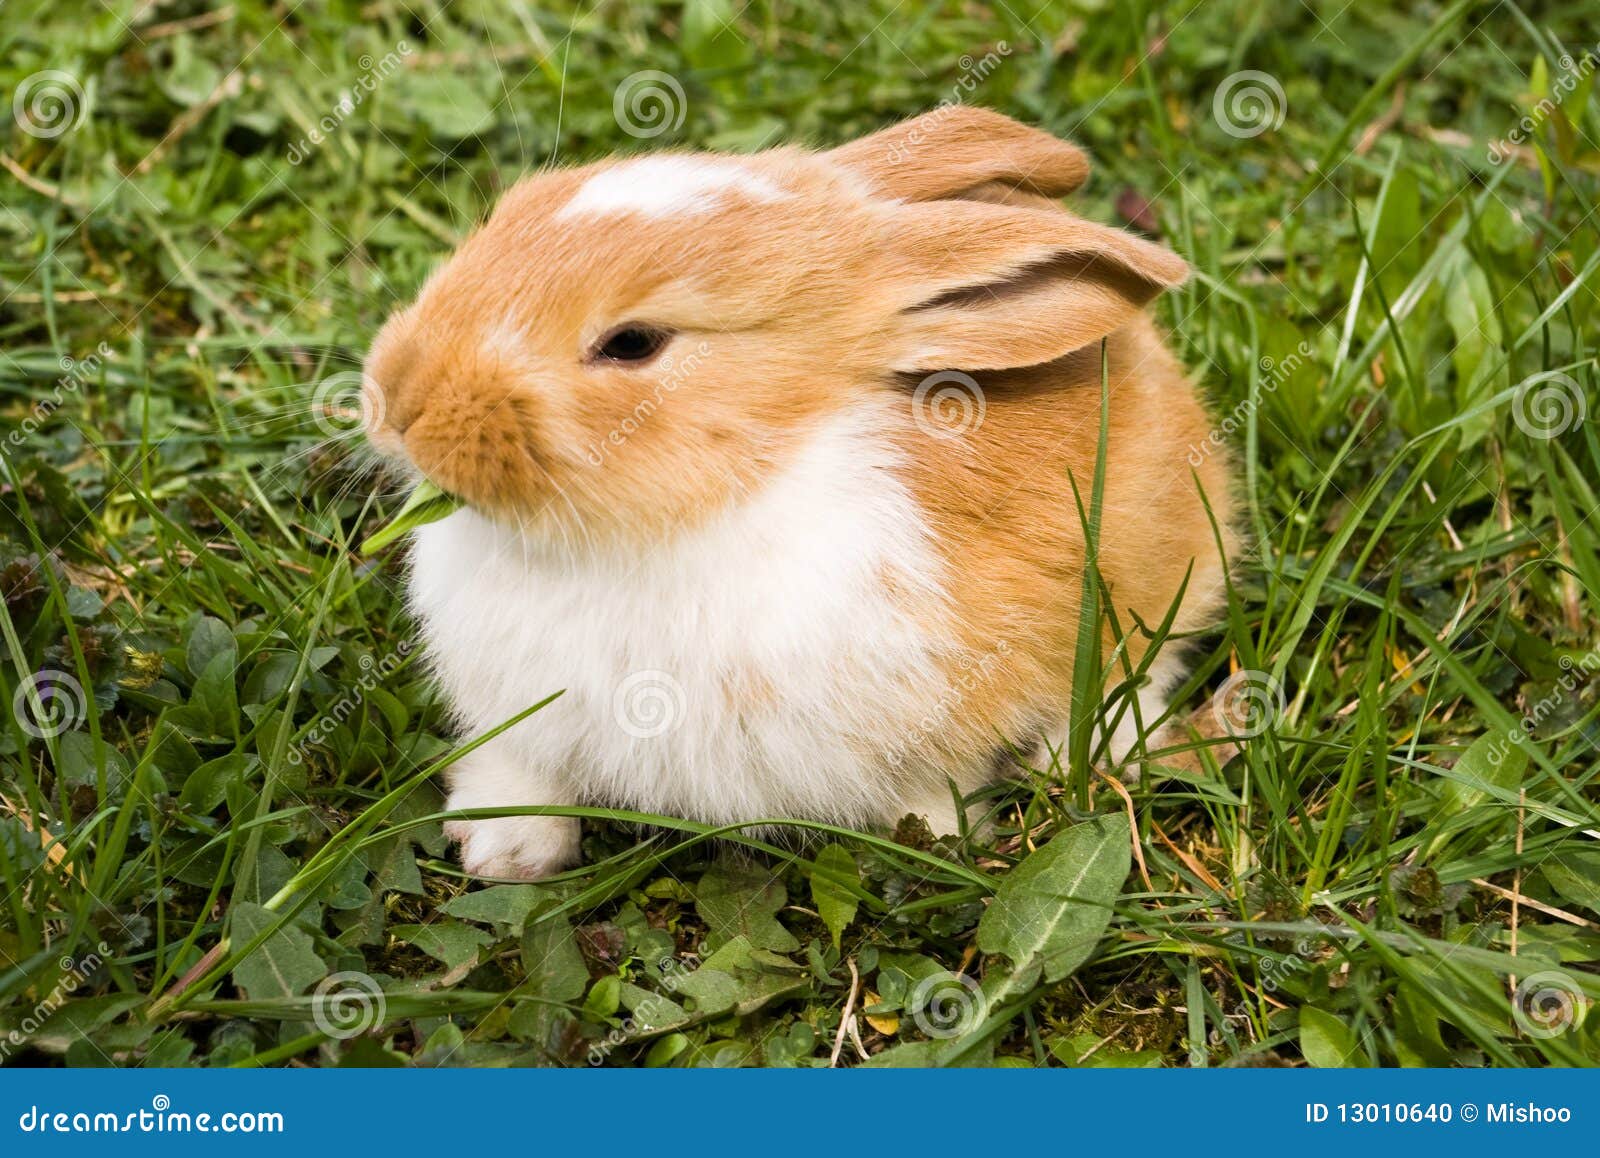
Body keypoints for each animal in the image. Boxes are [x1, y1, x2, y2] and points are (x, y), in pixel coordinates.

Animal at [361, 106, 1236, 880]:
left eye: (633, 343)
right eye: (512, 212)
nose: (397, 399)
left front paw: (938, 839)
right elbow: (523, 772)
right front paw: (504, 855)